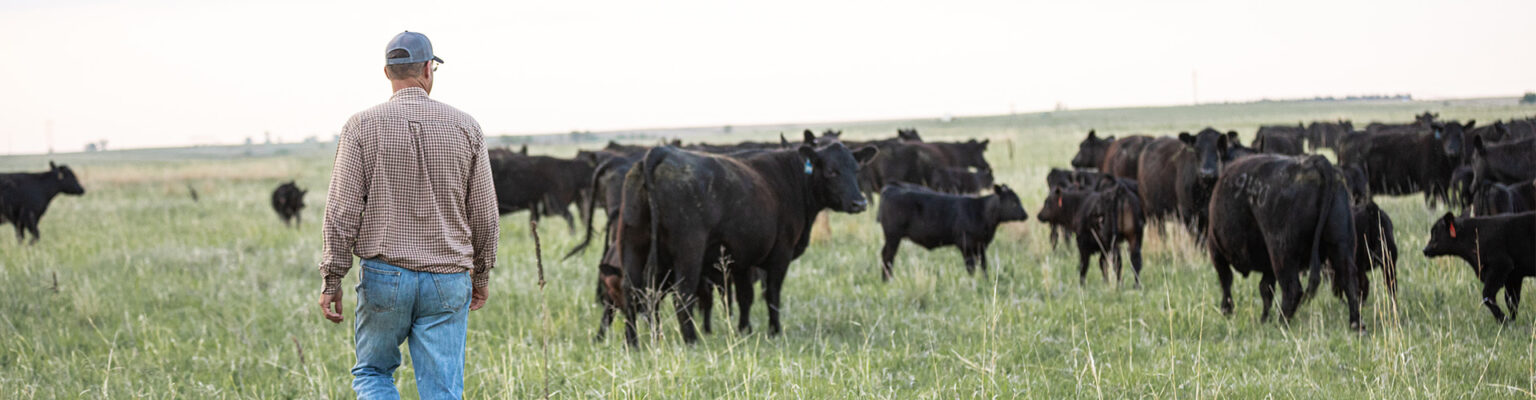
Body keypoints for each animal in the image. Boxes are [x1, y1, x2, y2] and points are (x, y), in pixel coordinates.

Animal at [615, 132, 878, 346]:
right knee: (683, 294)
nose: (860, 203)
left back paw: (632, 342)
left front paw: (745, 330)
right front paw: (774, 331)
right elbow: (772, 294)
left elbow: (745, 297)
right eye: (832, 171)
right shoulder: (779, 255)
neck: (792, 179)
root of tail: (661, 152)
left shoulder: (741, 259)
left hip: (632, 244)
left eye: (856, 169)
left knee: (631, 291)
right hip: (688, 250)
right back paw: (691, 340)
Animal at [876, 183, 1028, 280]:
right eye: (1014, 202)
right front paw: (973, 282)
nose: (1025, 215)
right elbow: (971, 267)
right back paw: (887, 279)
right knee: (888, 255)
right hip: (893, 236)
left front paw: (986, 281)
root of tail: (890, 188)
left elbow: (984, 265)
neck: (981, 212)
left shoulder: (981, 245)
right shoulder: (966, 245)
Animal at [1206, 154, 1362, 330]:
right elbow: (1265, 289)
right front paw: (1263, 319)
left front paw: (1227, 311)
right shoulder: (1268, 268)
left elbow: (1226, 282)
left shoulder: (1216, 251)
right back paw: (1356, 325)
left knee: (1292, 289)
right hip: (1341, 246)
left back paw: (1281, 323)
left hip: (1281, 253)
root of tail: (1315, 162)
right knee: (1350, 282)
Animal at [1339, 120, 1472, 206]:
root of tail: (1347, 138)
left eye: (1460, 135)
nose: (1452, 150)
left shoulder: (1443, 186)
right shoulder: (1429, 186)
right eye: (1444, 135)